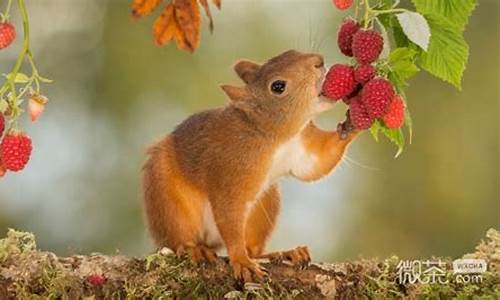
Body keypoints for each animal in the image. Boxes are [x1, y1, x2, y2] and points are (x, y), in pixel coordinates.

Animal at [142, 49, 360, 282]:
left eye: (291, 52)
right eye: (278, 86)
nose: (318, 61)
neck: (274, 136)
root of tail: (211, 240)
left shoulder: (301, 148)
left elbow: (317, 163)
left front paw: (353, 121)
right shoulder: (231, 169)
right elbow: (229, 211)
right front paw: (241, 261)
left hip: (265, 204)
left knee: (254, 249)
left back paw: (286, 252)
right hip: (167, 200)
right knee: (177, 238)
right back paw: (195, 249)